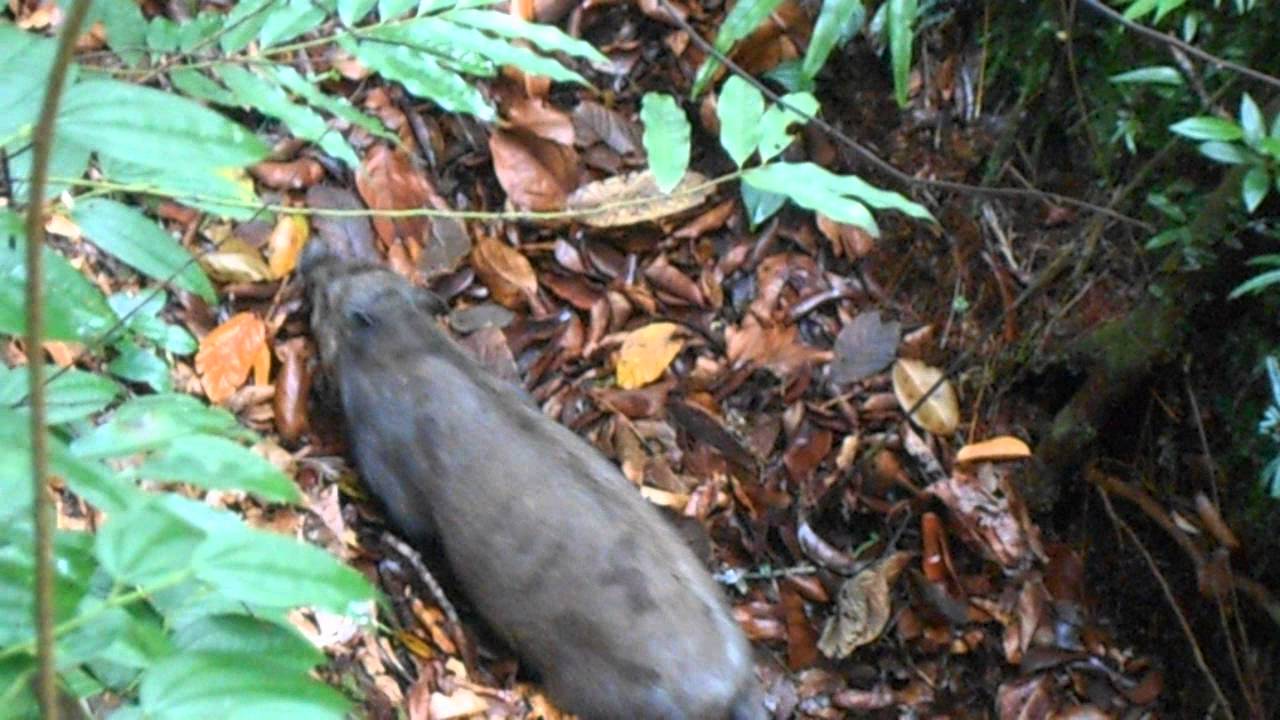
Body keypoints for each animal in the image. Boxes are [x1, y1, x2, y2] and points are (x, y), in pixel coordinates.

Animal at [301, 239, 763, 720]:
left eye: (324, 295)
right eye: (360, 263)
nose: (315, 251)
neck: (405, 346)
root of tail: (736, 689)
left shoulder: (387, 466)